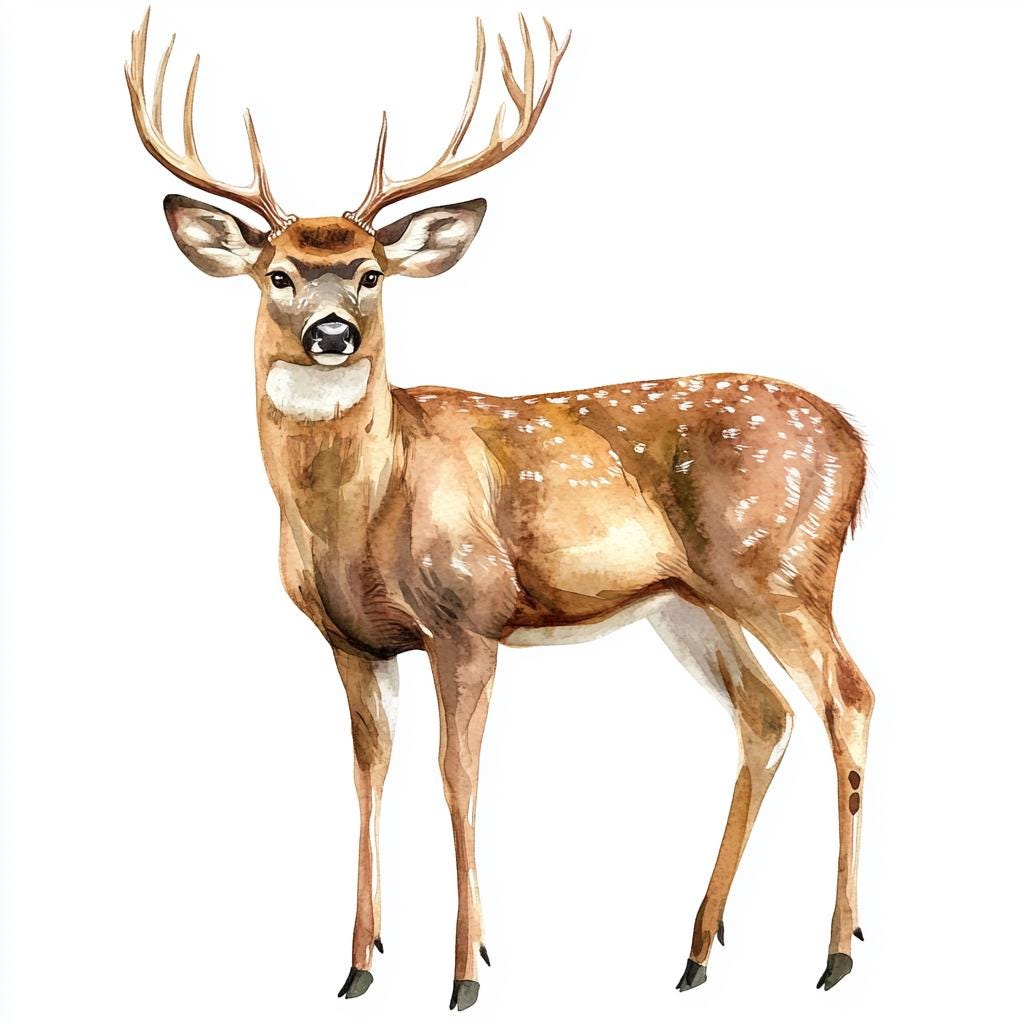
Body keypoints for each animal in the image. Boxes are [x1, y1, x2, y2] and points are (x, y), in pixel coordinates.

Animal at [125, 8, 875, 1011]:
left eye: (370, 273)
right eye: (278, 274)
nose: (334, 333)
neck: (361, 513)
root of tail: (858, 443)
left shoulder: (469, 615)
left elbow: (458, 777)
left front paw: (466, 969)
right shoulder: (352, 641)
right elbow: (369, 777)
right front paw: (359, 964)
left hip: (782, 567)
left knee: (847, 697)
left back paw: (835, 952)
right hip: (690, 603)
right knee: (765, 715)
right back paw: (696, 954)